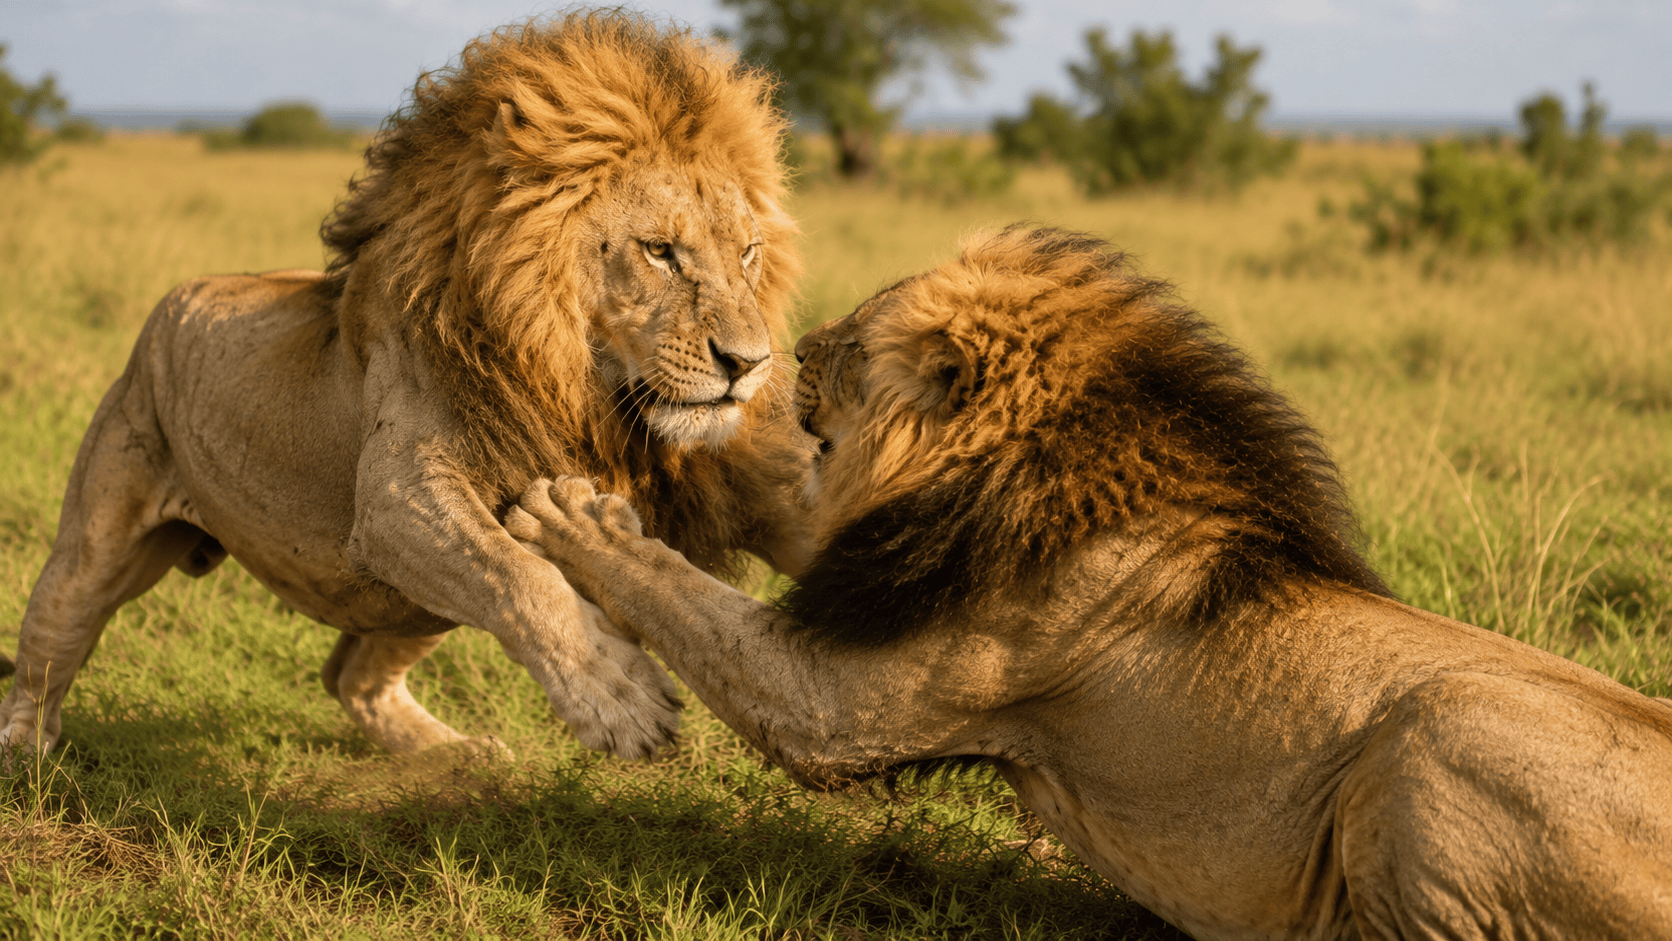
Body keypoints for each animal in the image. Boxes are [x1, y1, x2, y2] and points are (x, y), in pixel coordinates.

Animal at [0, 12, 814, 761]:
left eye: (748, 253)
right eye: (659, 251)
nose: (749, 364)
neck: (588, 397)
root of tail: (173, 300)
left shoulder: (734, 473)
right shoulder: (394, 498)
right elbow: (520, 576)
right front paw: (620, 697)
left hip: (406, 607)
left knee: (351, 676)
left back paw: (454, 755)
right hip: (98, 535)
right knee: (47, 646)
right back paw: (28, 756)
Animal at [506, 227, 1672, 939]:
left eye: (851, 342)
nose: (781, 353)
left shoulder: (841, 705)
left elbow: (685, 599)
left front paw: (571, 514)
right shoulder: (864, 553)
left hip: (1435, 729)